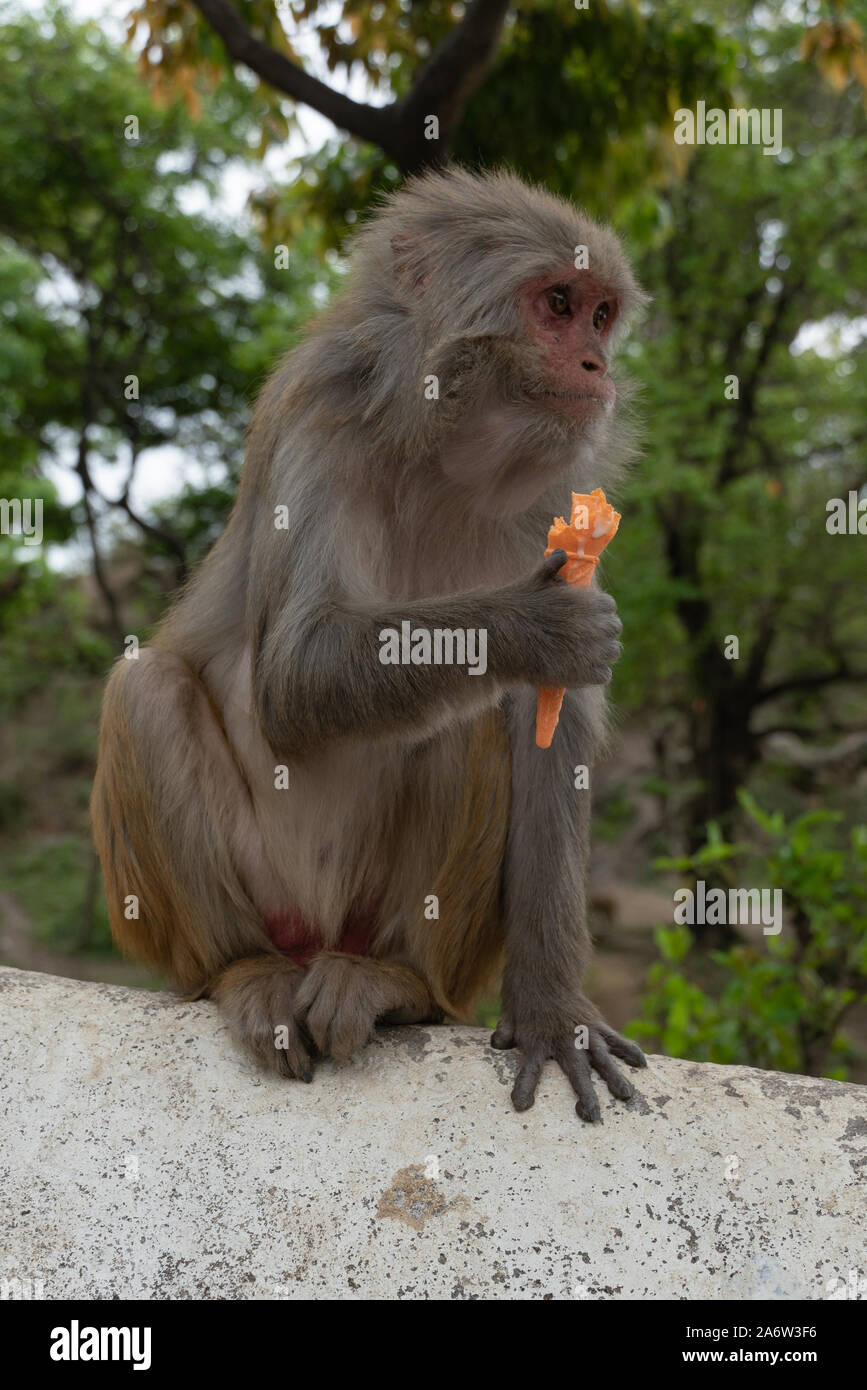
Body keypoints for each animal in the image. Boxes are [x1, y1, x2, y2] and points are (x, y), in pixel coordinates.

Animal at [92, 167, 649, 1123]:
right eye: (559, 304)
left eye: (602, 314)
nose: (595, 366)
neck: (446, 453)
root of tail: (313, 940)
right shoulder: (320, 411)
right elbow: (291, 677)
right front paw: (534, 627)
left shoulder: (563, 495)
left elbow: (549, 736)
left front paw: (552, 1009)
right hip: (215, 913)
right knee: (147, 689)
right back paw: (245, 969)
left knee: (470, 724)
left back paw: (396, 981)